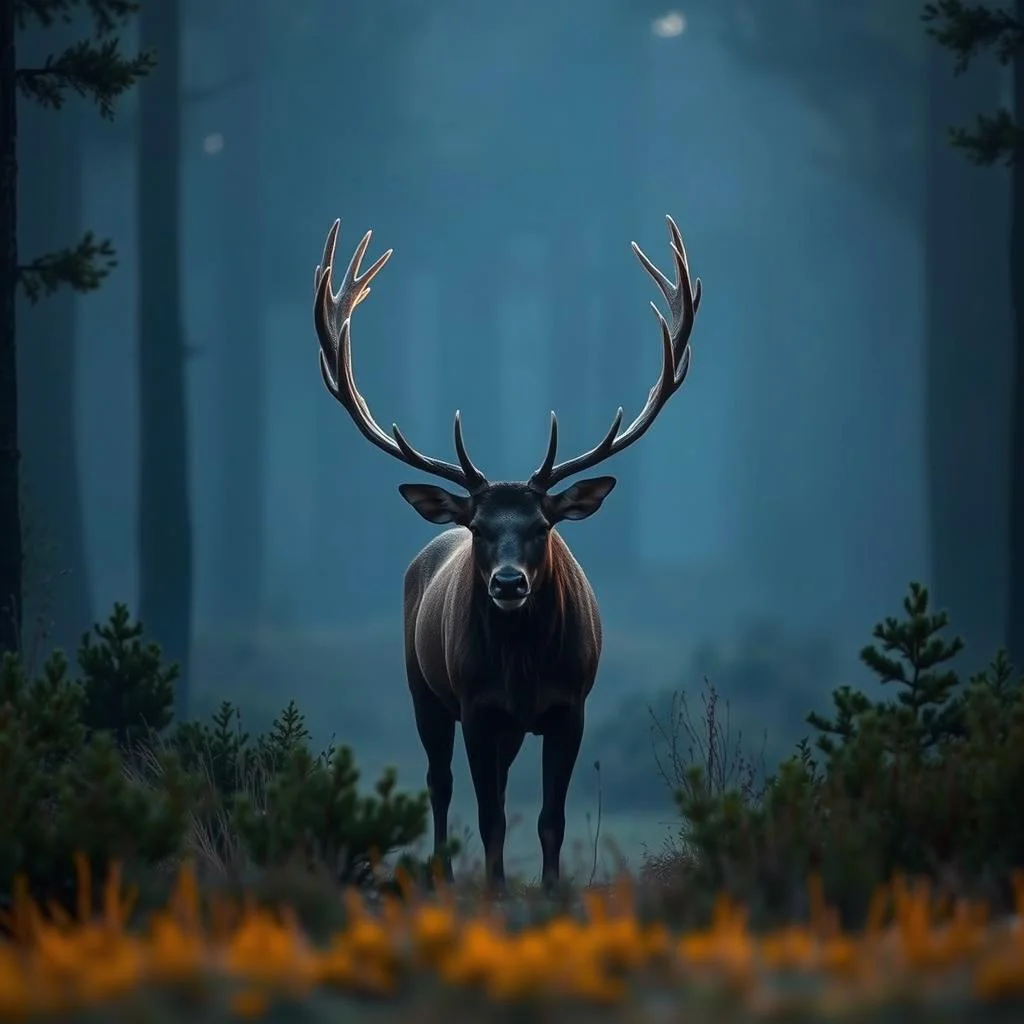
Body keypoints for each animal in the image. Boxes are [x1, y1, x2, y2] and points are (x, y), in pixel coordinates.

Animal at [312, 215, 702, 892]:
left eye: (544, 525)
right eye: (478, 525)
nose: (509, 584)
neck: (522, 667)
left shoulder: (570, 707)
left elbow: (550, 819)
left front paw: (548, 890)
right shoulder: (477, 707)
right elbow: (490, 813)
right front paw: (493, 889)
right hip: (423, 689)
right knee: (439, 784)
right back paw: (441, 870)